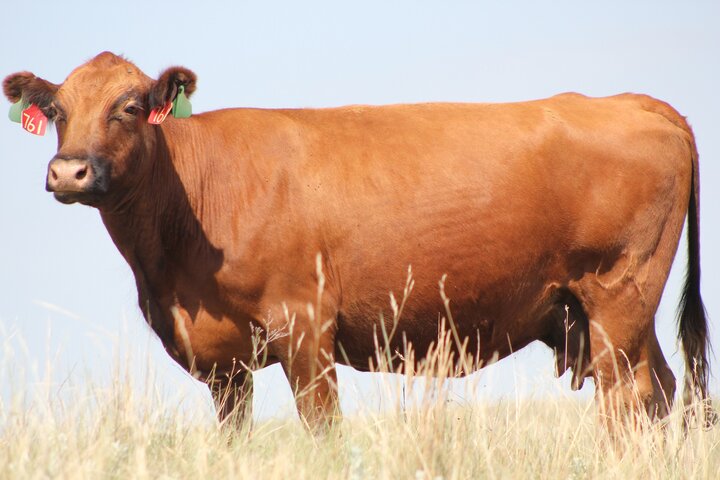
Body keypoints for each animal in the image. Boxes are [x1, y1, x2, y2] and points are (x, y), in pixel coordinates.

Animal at [4, 52, 712, 428]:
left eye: (128, 106)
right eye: (58, 111)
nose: (68, 171)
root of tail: (635, 102)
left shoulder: (305, 328)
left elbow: (323, 429)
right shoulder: (225, 366)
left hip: (619, 295)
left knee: (630, 399)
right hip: (613, 310)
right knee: (664, 393)